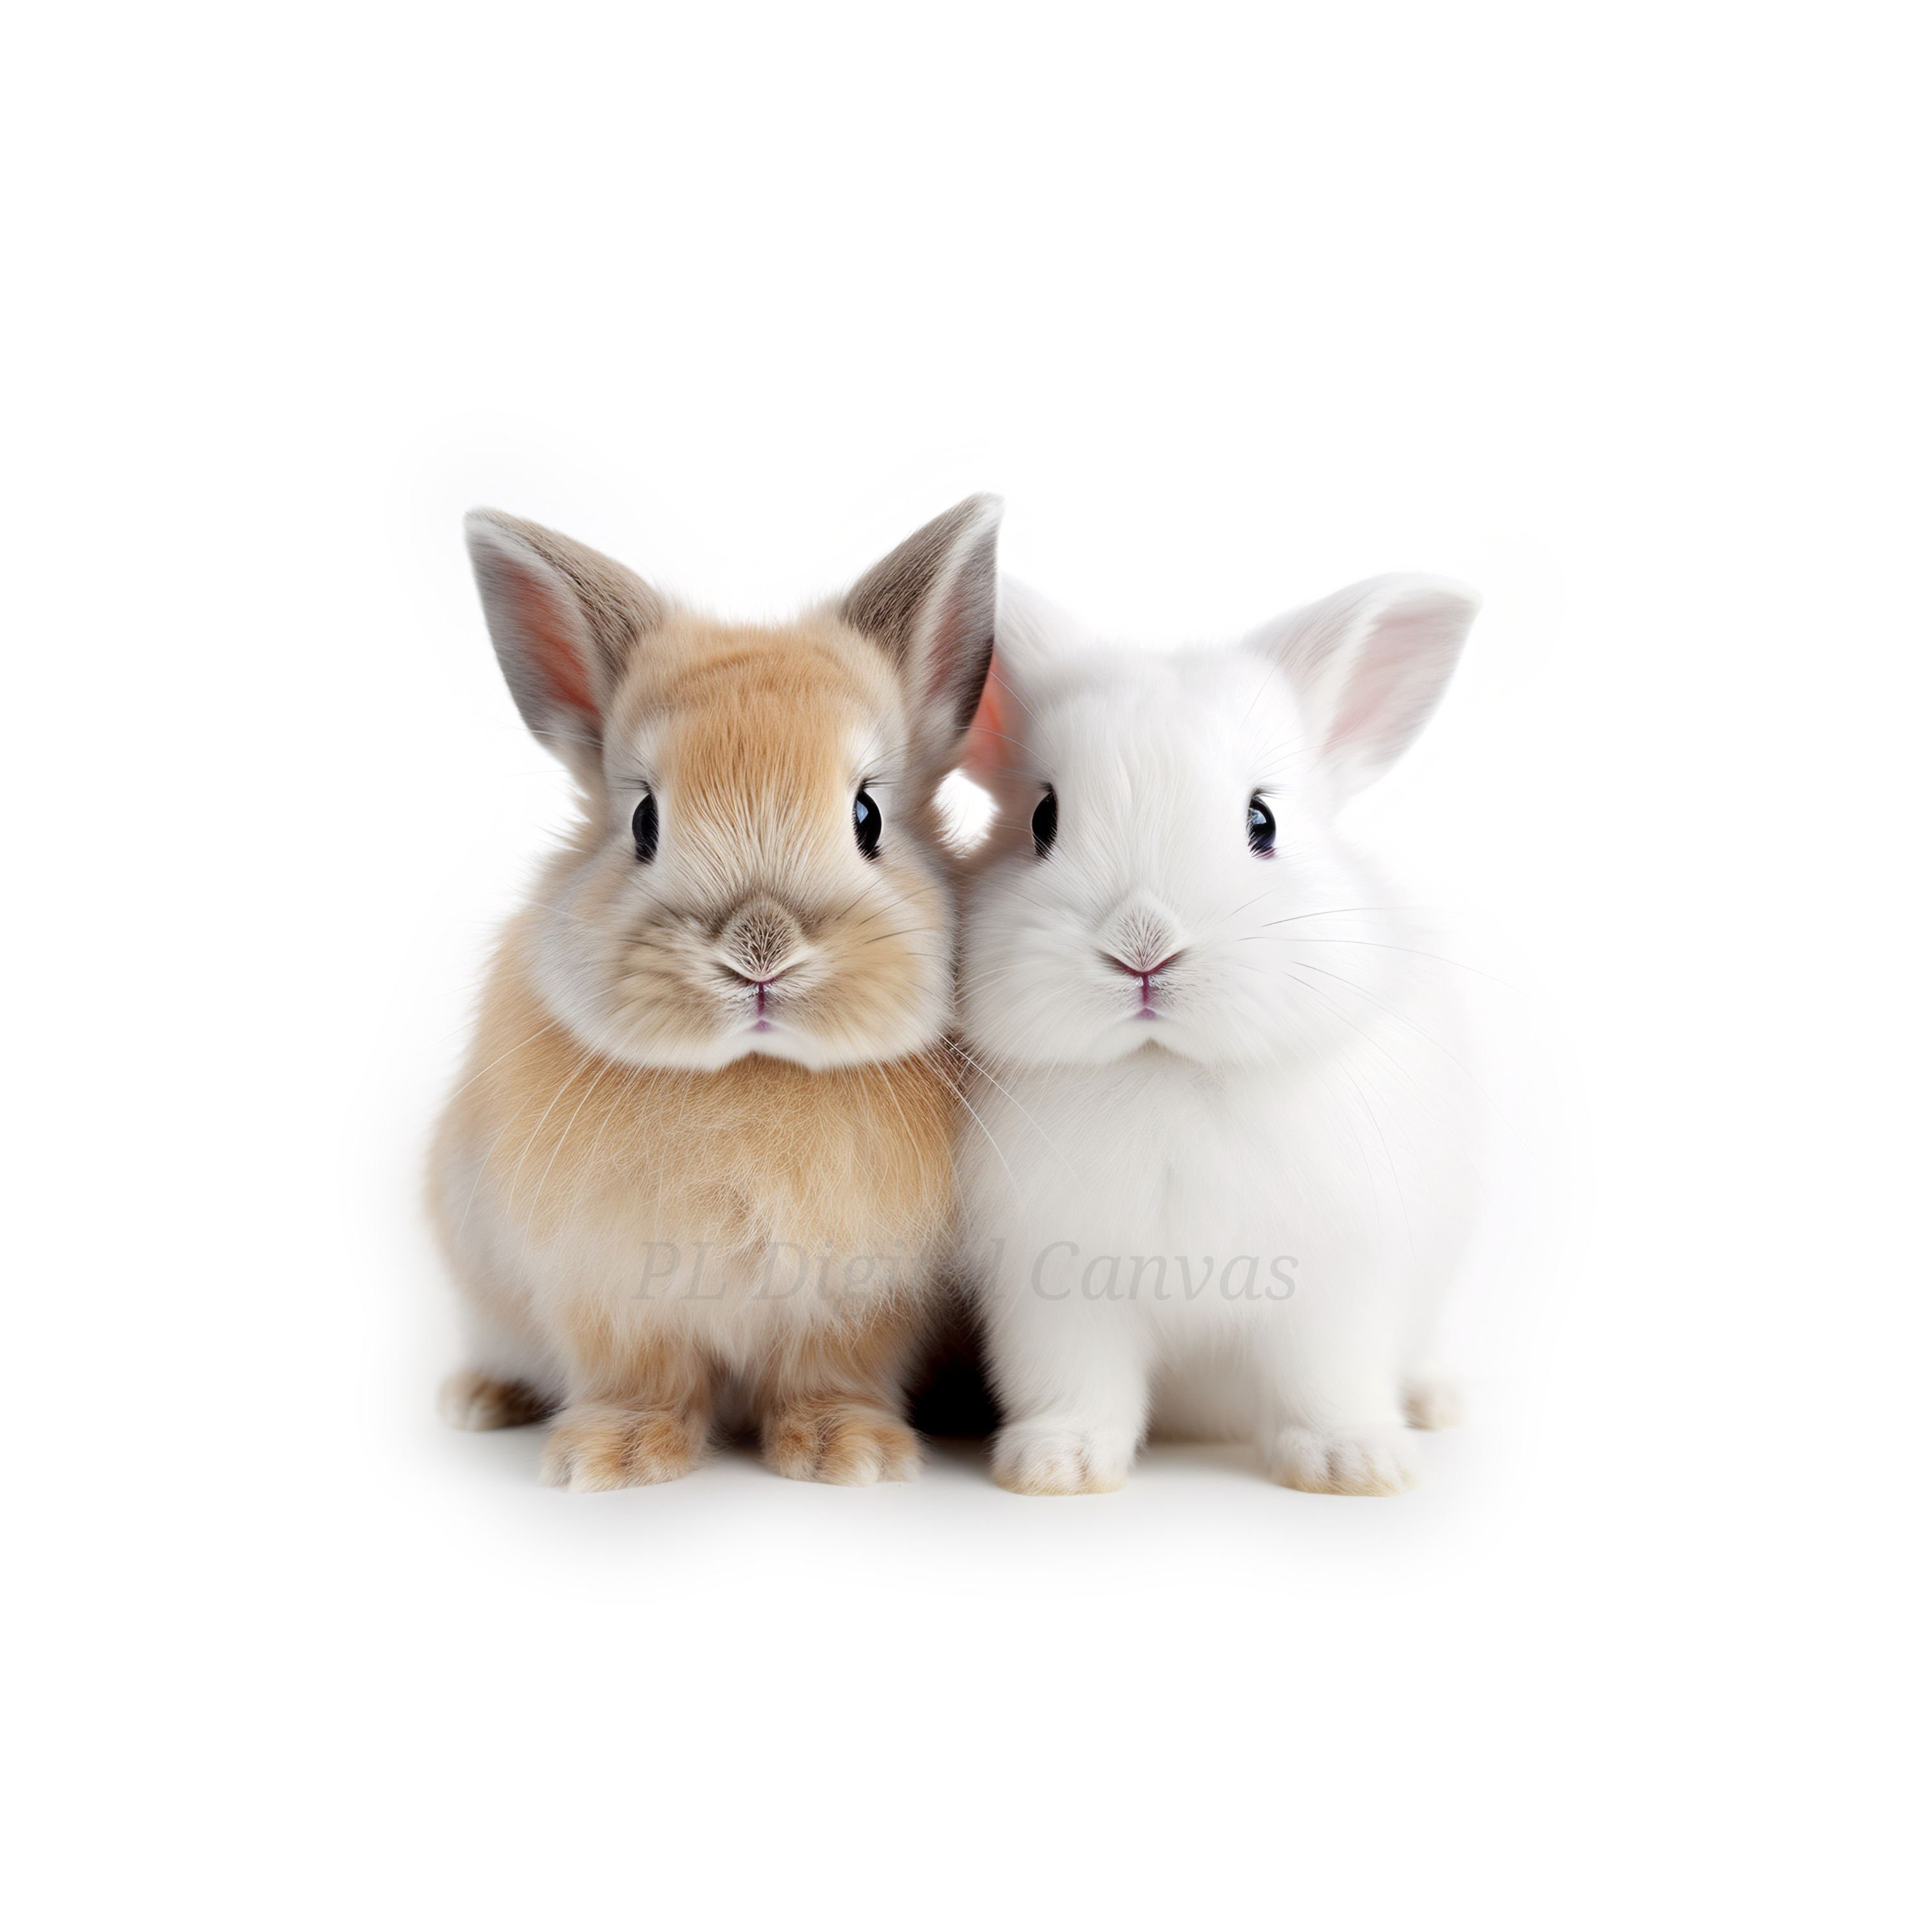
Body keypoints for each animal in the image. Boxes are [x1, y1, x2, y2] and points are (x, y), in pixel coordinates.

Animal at [429, 497, 1002, 1489]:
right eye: (643, 821)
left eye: (868, 817)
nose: (758, 951)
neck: (751, 1075)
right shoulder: (606, 1291)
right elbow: (640, 1377)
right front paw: (612, 1458)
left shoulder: (860, 1303)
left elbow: (829, 1374)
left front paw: (848, 1454)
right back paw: (479, 1400)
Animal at [954, 570, 1483, 1495]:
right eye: (1043, 820)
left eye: (1262, 822)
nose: (1143, 947)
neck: (1167, 1070)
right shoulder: (1053, 1294)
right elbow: (1075, 1384)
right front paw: (1058, 1467)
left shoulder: (1336, 1284)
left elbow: (1329, 1381)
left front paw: (1354, 1464)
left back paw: (1433, 1402)